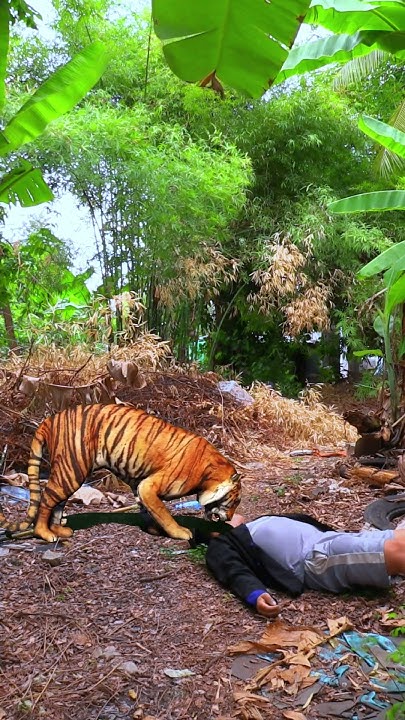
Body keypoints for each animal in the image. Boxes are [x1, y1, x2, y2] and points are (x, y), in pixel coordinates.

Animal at [0, 403, 242, 543]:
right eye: (236, 501)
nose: (230, 518)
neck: (209, 474)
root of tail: (50, 419)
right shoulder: (149, 485)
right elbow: (163, 512)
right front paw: (180, 532)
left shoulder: (141, 486)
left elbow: (152, 510)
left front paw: (153, 529)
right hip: (72, 469)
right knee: (47, 500)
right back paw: (46, 534)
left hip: (66, 471)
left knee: (57, 503)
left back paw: (60, 531)